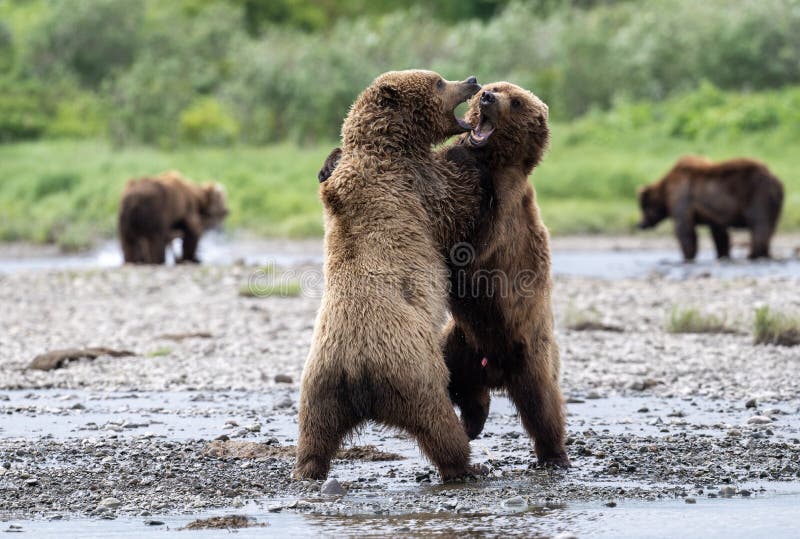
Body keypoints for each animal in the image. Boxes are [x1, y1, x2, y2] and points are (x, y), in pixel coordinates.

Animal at [294, 70, 483, 482]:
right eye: (440, 82)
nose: (473, 79)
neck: (390, 146)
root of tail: (358, 373)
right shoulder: (418, 184)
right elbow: (457, 199)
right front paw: (470, 152)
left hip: (319, 387)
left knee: (314, 433)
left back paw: (307, 467)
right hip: (416, 373)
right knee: (440, 426)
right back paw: (465, 466)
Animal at [317, 82, 570, 468]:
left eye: (515, 101)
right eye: (495, 88)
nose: (487, 97)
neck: (491, 160)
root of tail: (495, 368)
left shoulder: (501, 209)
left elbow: (466, 242)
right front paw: (331, 161)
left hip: (526, 348)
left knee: (542, 405)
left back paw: (554, 454)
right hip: (458, 344)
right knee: (464, 391)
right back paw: (472, 425)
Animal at [637, 156, 784, 260]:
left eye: (643, 208)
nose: (639, 224)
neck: (665, 193)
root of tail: (776, 180)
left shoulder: (681, 197)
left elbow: (684, 229)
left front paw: (687, 256)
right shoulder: (714, 212)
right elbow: (719, 233)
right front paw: (722, 254)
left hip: (757, 195)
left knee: (759, 224)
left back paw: (753, 254)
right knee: (768, 227)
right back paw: (764, 253)